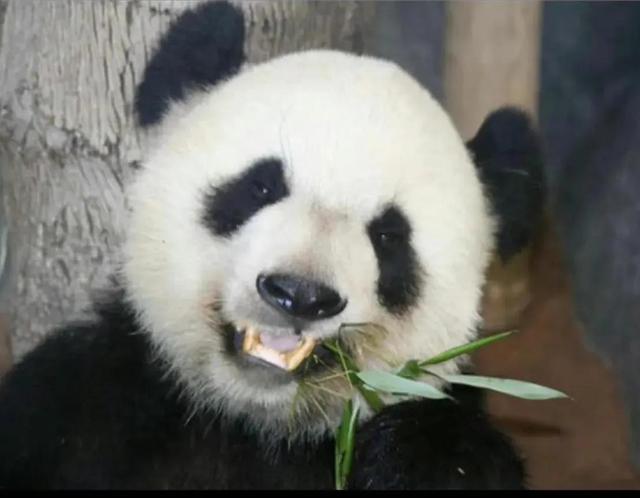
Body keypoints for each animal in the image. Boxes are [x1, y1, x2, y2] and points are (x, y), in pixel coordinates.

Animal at [0, 1, 544, 490]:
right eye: (261, 187)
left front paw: (410, 456)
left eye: (389, 237)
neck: (255, 425)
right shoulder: (81, 406)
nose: (299, 295)